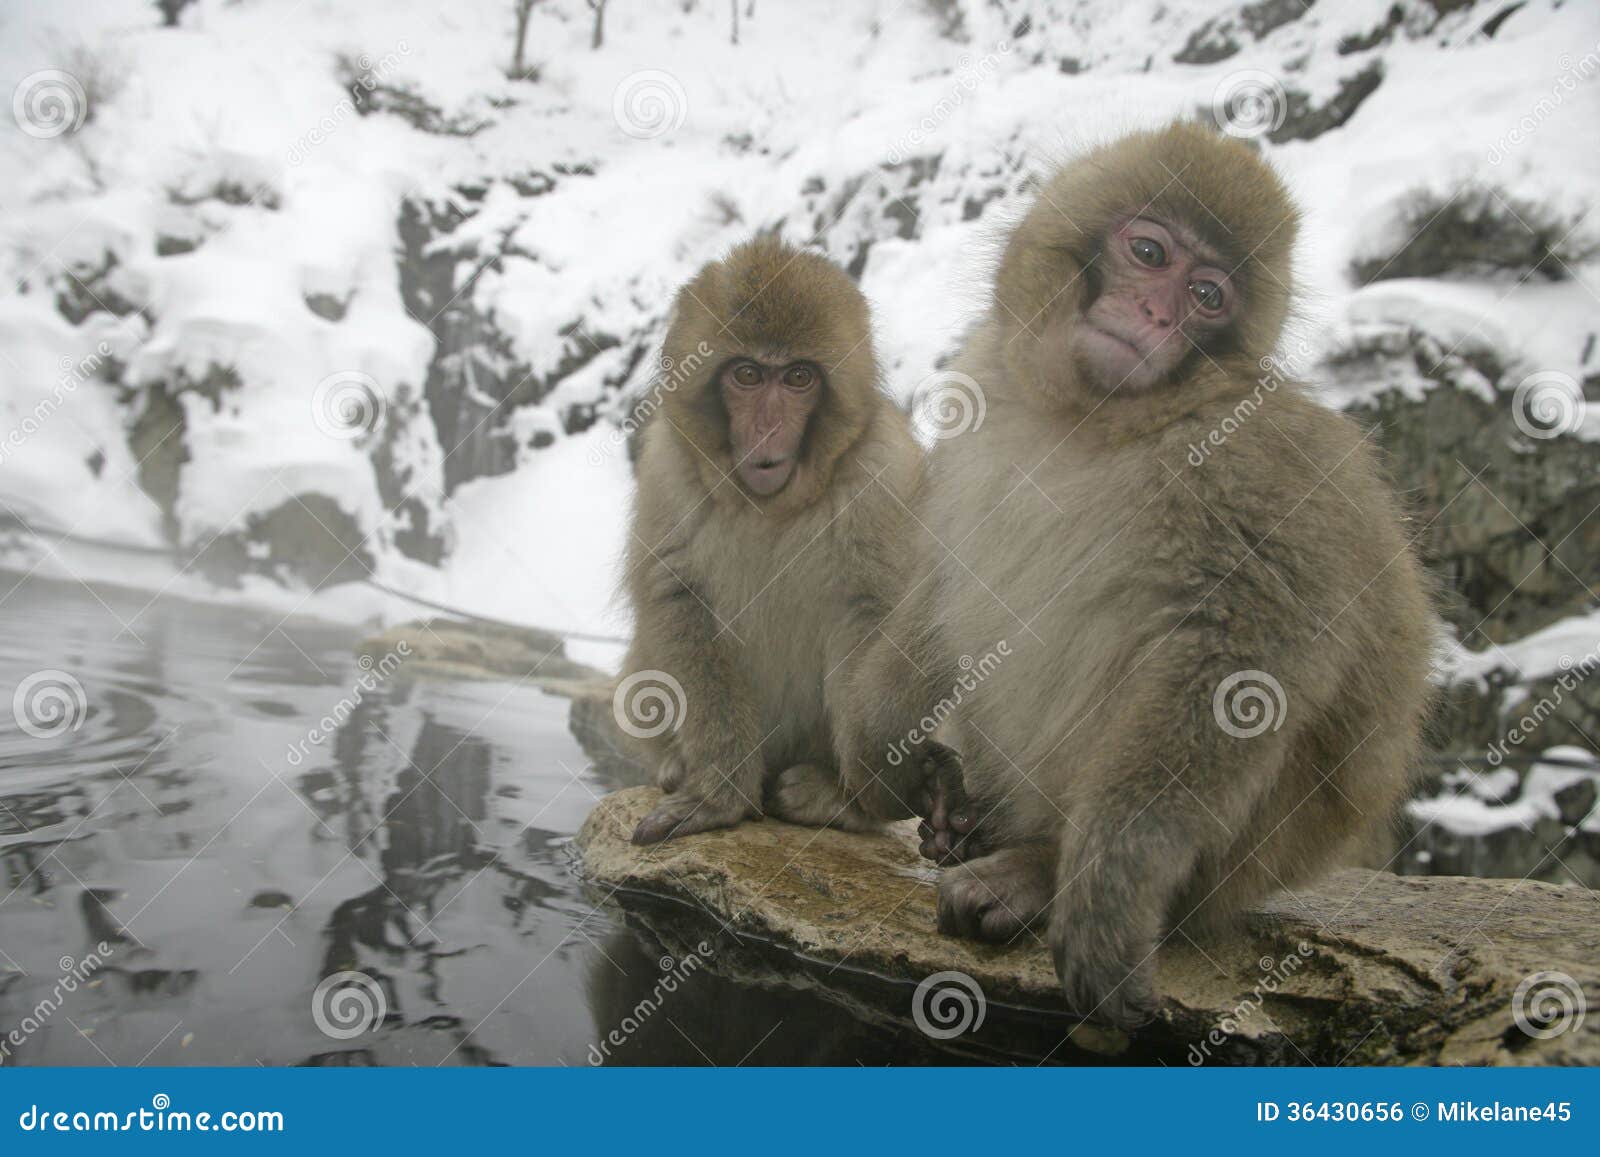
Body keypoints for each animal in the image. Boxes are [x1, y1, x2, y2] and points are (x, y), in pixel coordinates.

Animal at [617, 235, 944, 846]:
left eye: (797, 378)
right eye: (747, 374)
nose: (768, 429)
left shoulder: (881, 472)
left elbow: (873, 610)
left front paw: (863, 794)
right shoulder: (669, 465)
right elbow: (677, 594)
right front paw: (720, 790)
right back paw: (676, 763)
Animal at [843, 122, 1436, 1027]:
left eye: (1209, 297)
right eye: (1150, 252)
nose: (1158, 312)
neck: (1092, 420)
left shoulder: (1255, 456)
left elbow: (1247, 656)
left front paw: (1106, 888)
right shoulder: (987, 380)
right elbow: (944, 575)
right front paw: (885, 750)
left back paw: (1036, 862)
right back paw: (965, 820)